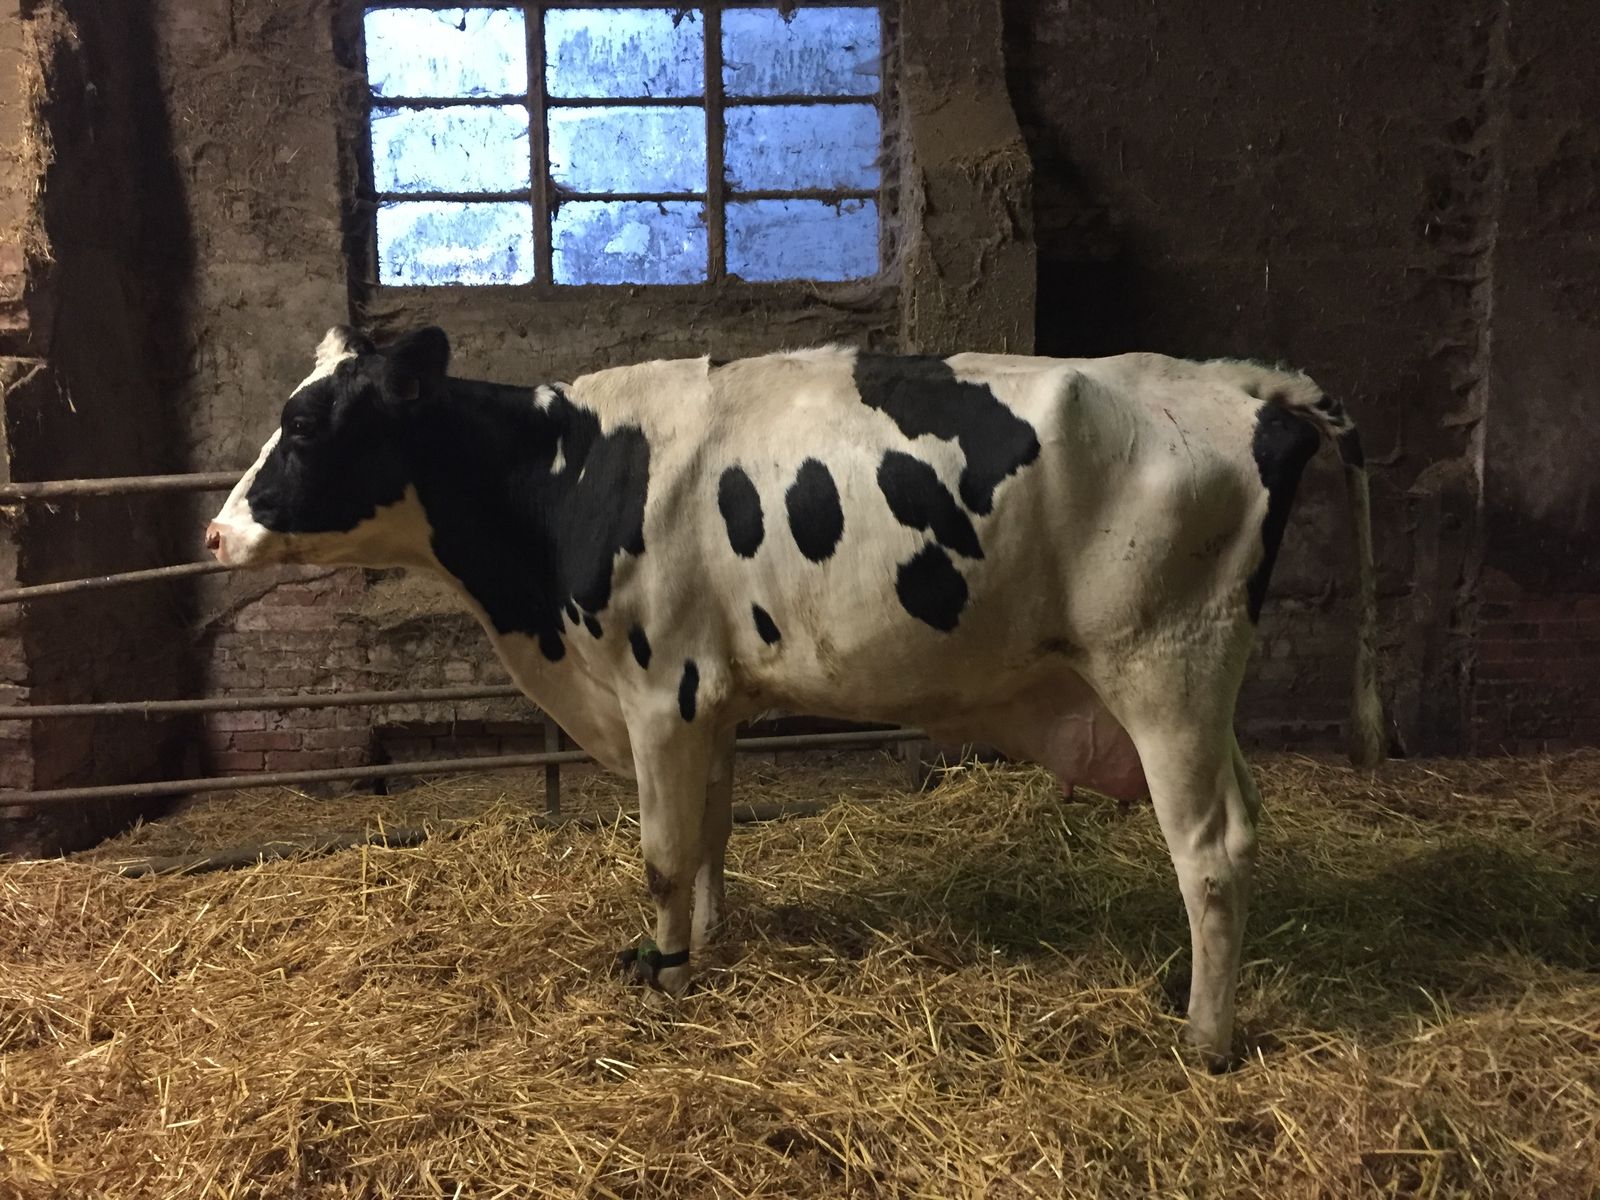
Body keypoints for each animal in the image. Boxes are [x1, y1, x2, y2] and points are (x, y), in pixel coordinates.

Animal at [205, 325, 1383, 1066]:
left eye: (307, 428)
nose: (216, 534)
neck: (569, 477)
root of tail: (1245, 385)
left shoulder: (659, 689)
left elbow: (661, 851)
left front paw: (663, 970)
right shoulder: (711, 697)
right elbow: (712, 833)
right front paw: (710, 941)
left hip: (1163, 668)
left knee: (1211, 854)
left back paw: (1205, 1041)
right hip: (1201, 689)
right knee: (1243, 825)